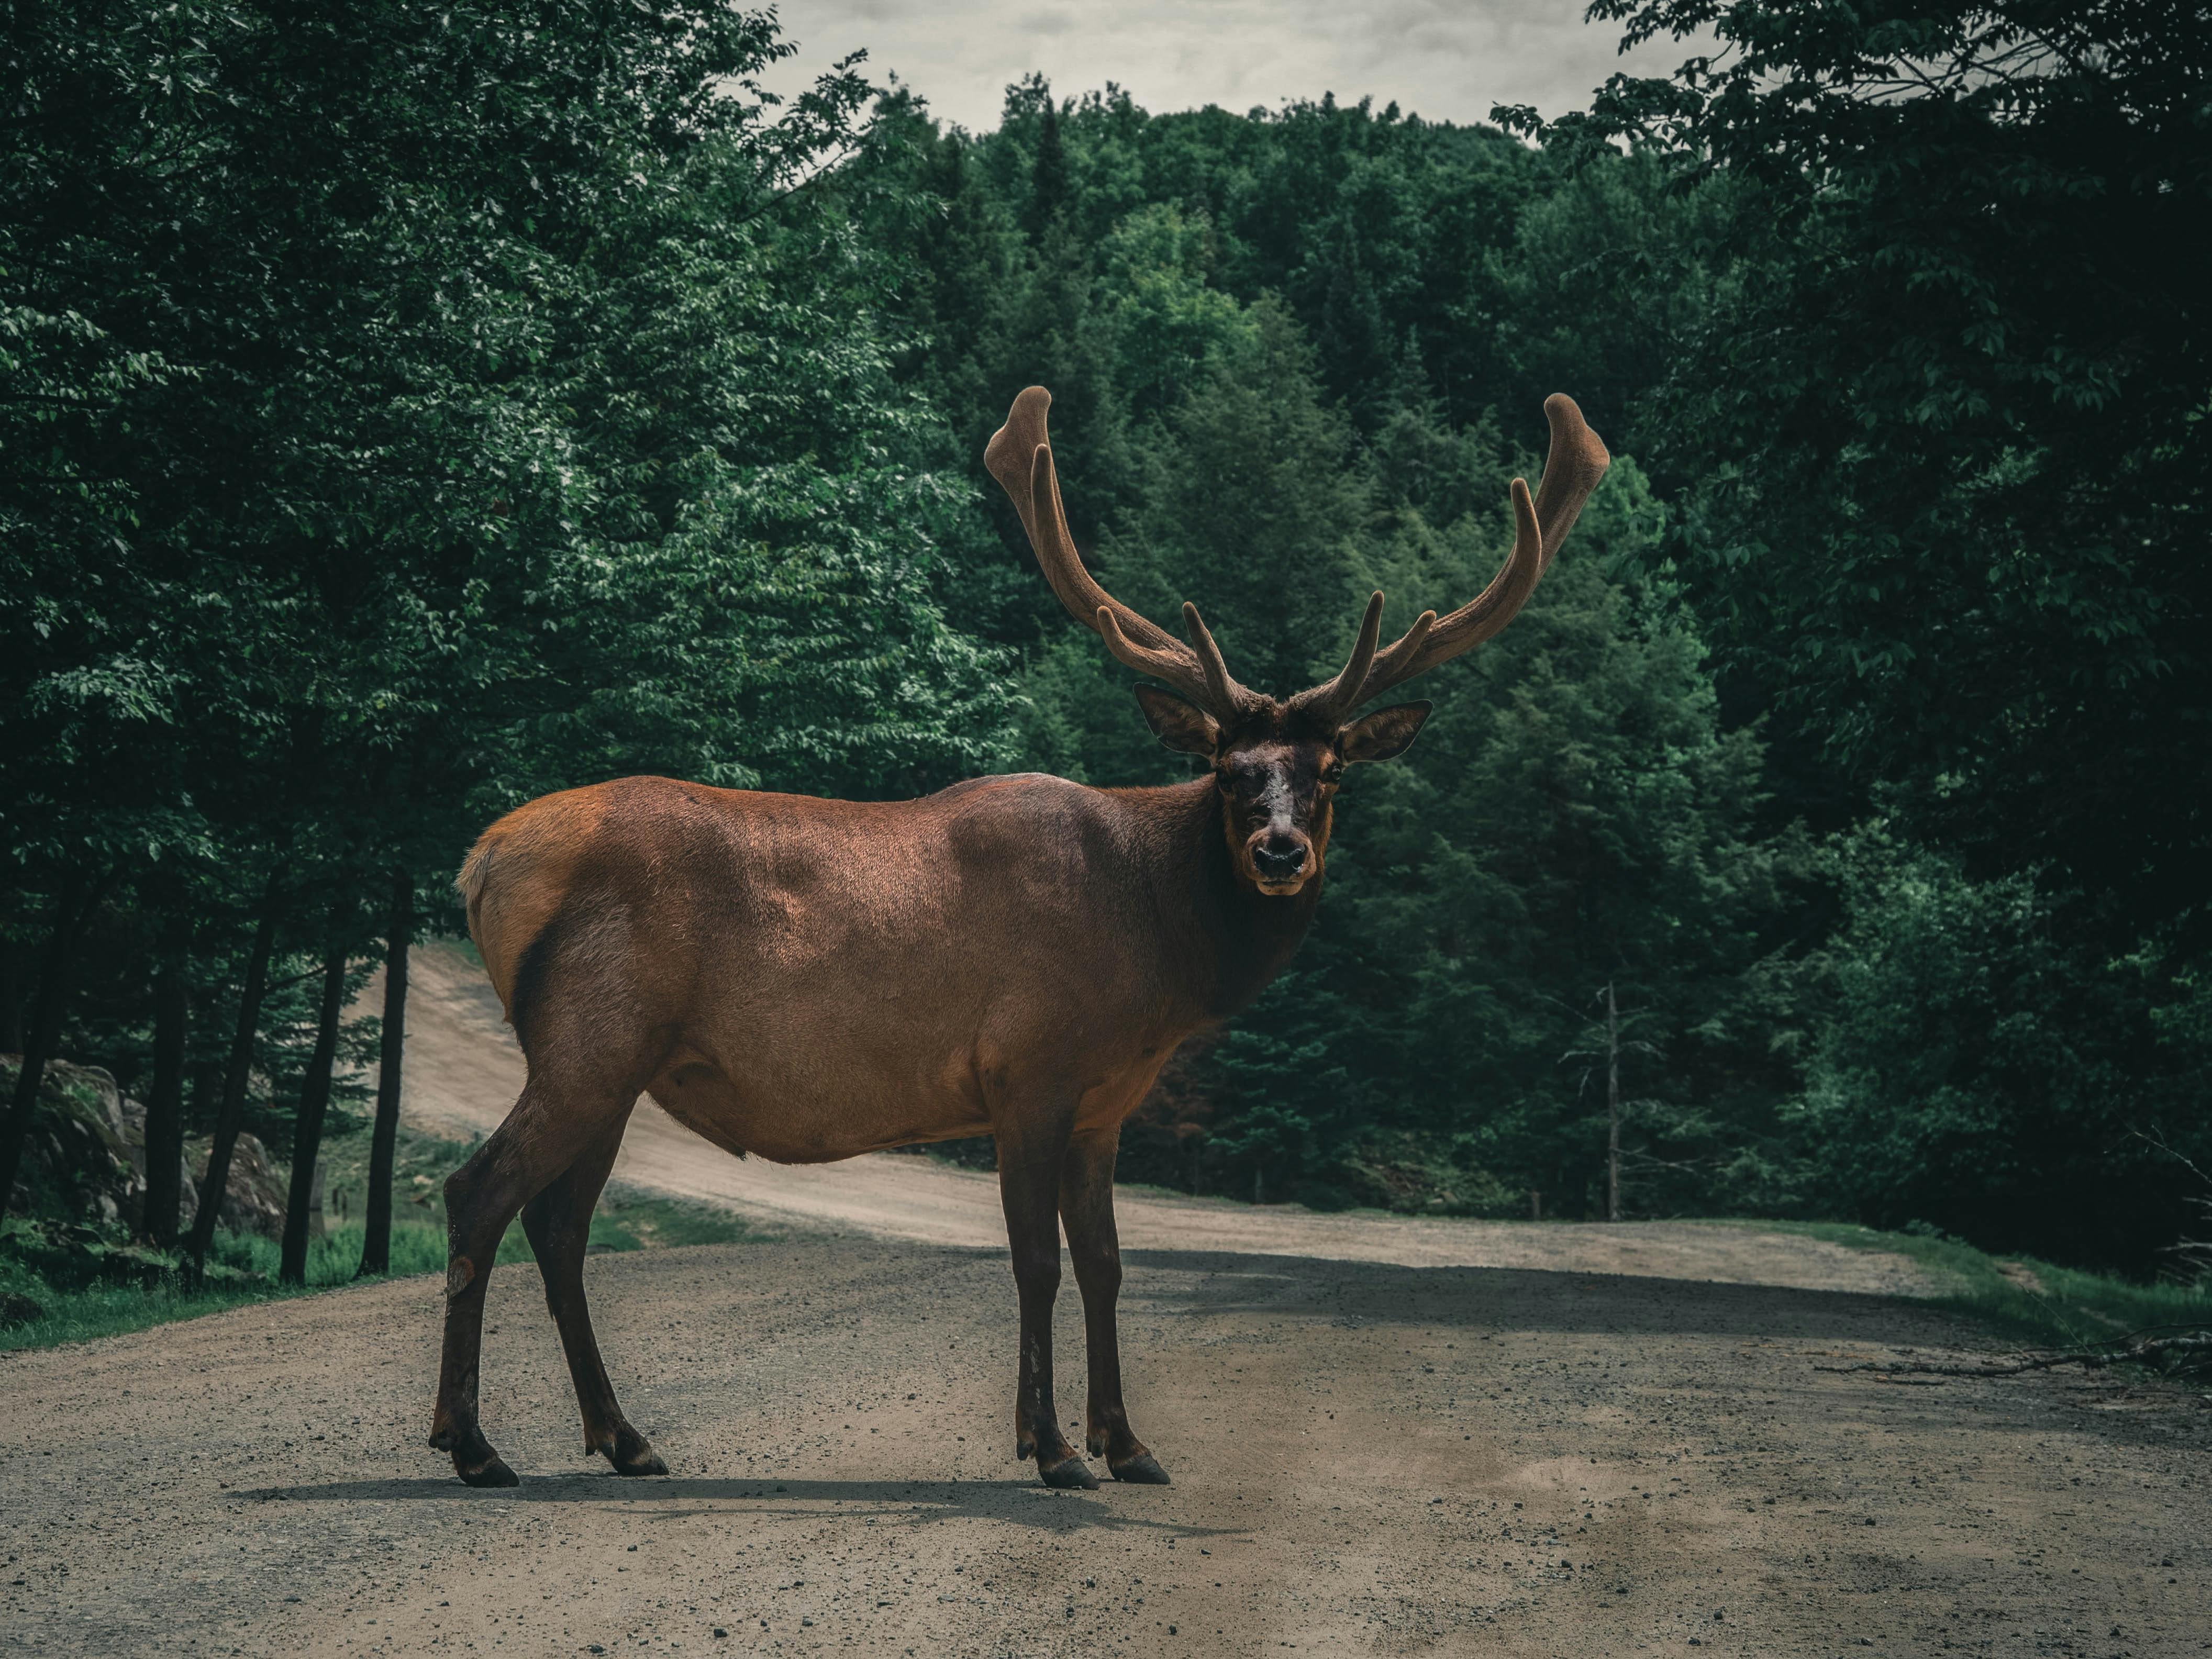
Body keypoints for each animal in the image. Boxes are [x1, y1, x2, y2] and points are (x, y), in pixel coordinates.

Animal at [432, 385, 1609, 1489]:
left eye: (1328, 773)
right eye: (1229, 768)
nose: (1279, 850)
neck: (1157, 954)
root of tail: (482, 861)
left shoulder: (1105, 1105)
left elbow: (1107, 1262)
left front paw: (1129, 1442)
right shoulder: (1023, 1069)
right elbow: (1036, 1262)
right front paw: (1050, 1447)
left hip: (618, 1062)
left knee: (560, 1223)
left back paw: (624, 1438)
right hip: (590, 1037)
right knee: (479, 1192)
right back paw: (473, 1442)